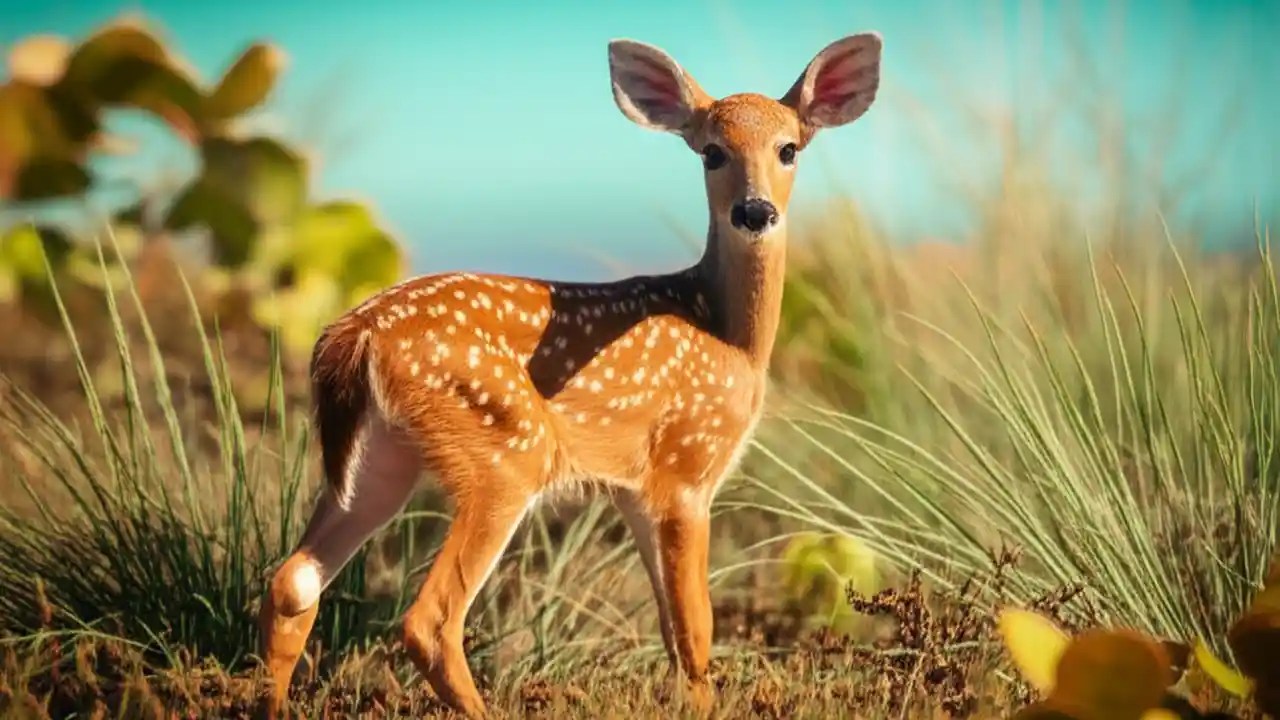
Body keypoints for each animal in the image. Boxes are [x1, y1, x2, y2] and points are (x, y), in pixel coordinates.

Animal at [257, 31, 882, 718]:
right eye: (712, 152)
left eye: (788, 148)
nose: (755, 211)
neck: (729, 335)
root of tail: (355, 334)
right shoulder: (689, 466)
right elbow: (697, 627)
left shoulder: (636, 488)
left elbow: (671, 628)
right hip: (504, 451)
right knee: (430, 618)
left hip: (379, 459)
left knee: (292, 580)